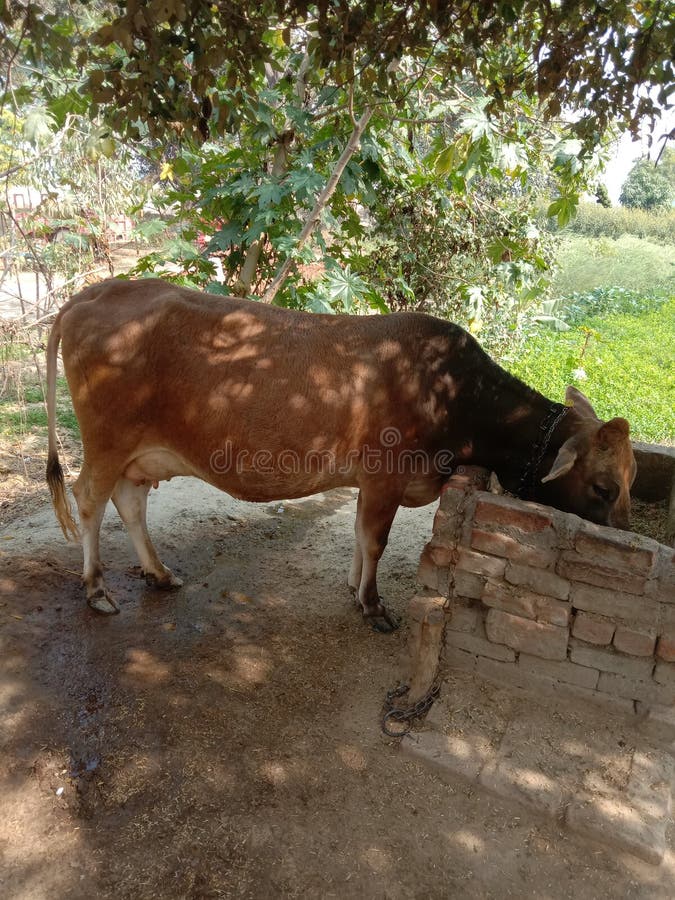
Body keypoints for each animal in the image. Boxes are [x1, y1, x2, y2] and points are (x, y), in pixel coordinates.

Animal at [46, 278, 637, 629]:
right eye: (604, 487)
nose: (626, 537)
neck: (453, 392)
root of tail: (99, 291)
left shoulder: (371, 482)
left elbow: (358, 535)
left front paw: (355, 588)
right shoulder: (386, 477)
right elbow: (374, 540)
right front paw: (373, 604)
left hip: (142, 453)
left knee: (130, 502)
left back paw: (159, 572)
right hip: (106, 443)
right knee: (88, 499)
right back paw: (96, 588)